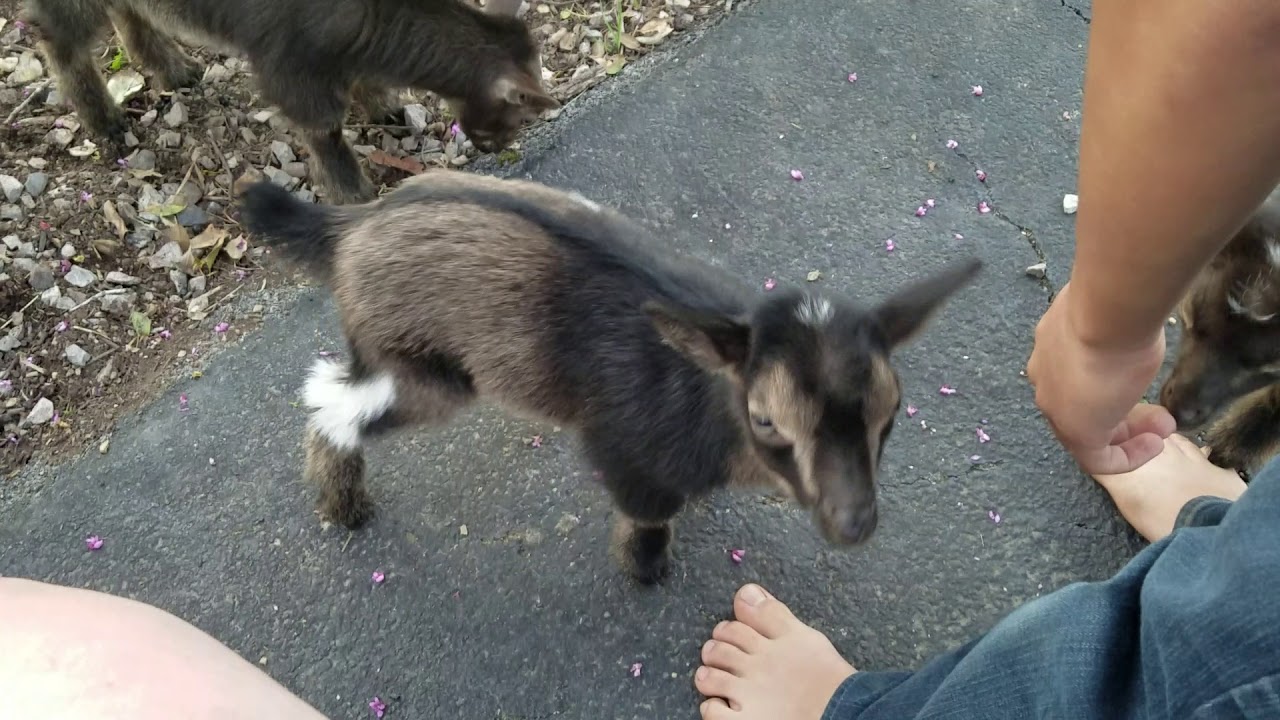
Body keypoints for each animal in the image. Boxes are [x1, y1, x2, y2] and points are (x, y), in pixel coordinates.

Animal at [19, 0, 557, 205]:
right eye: (515, 114)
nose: (494, 149)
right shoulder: (288, 61)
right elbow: (322, 127)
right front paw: (351, 190)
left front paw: (383, 108)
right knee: (57, 39)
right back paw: (103, 120)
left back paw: (169, 64)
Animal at [235, 170, 983, 584]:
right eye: (767, 420)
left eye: (893, 409)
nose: (854, 524)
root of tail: (351, 225)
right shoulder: (625, 443)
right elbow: (647, 514)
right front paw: (646, 570)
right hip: (418, 365)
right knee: (329, 399)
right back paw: (341, 503)